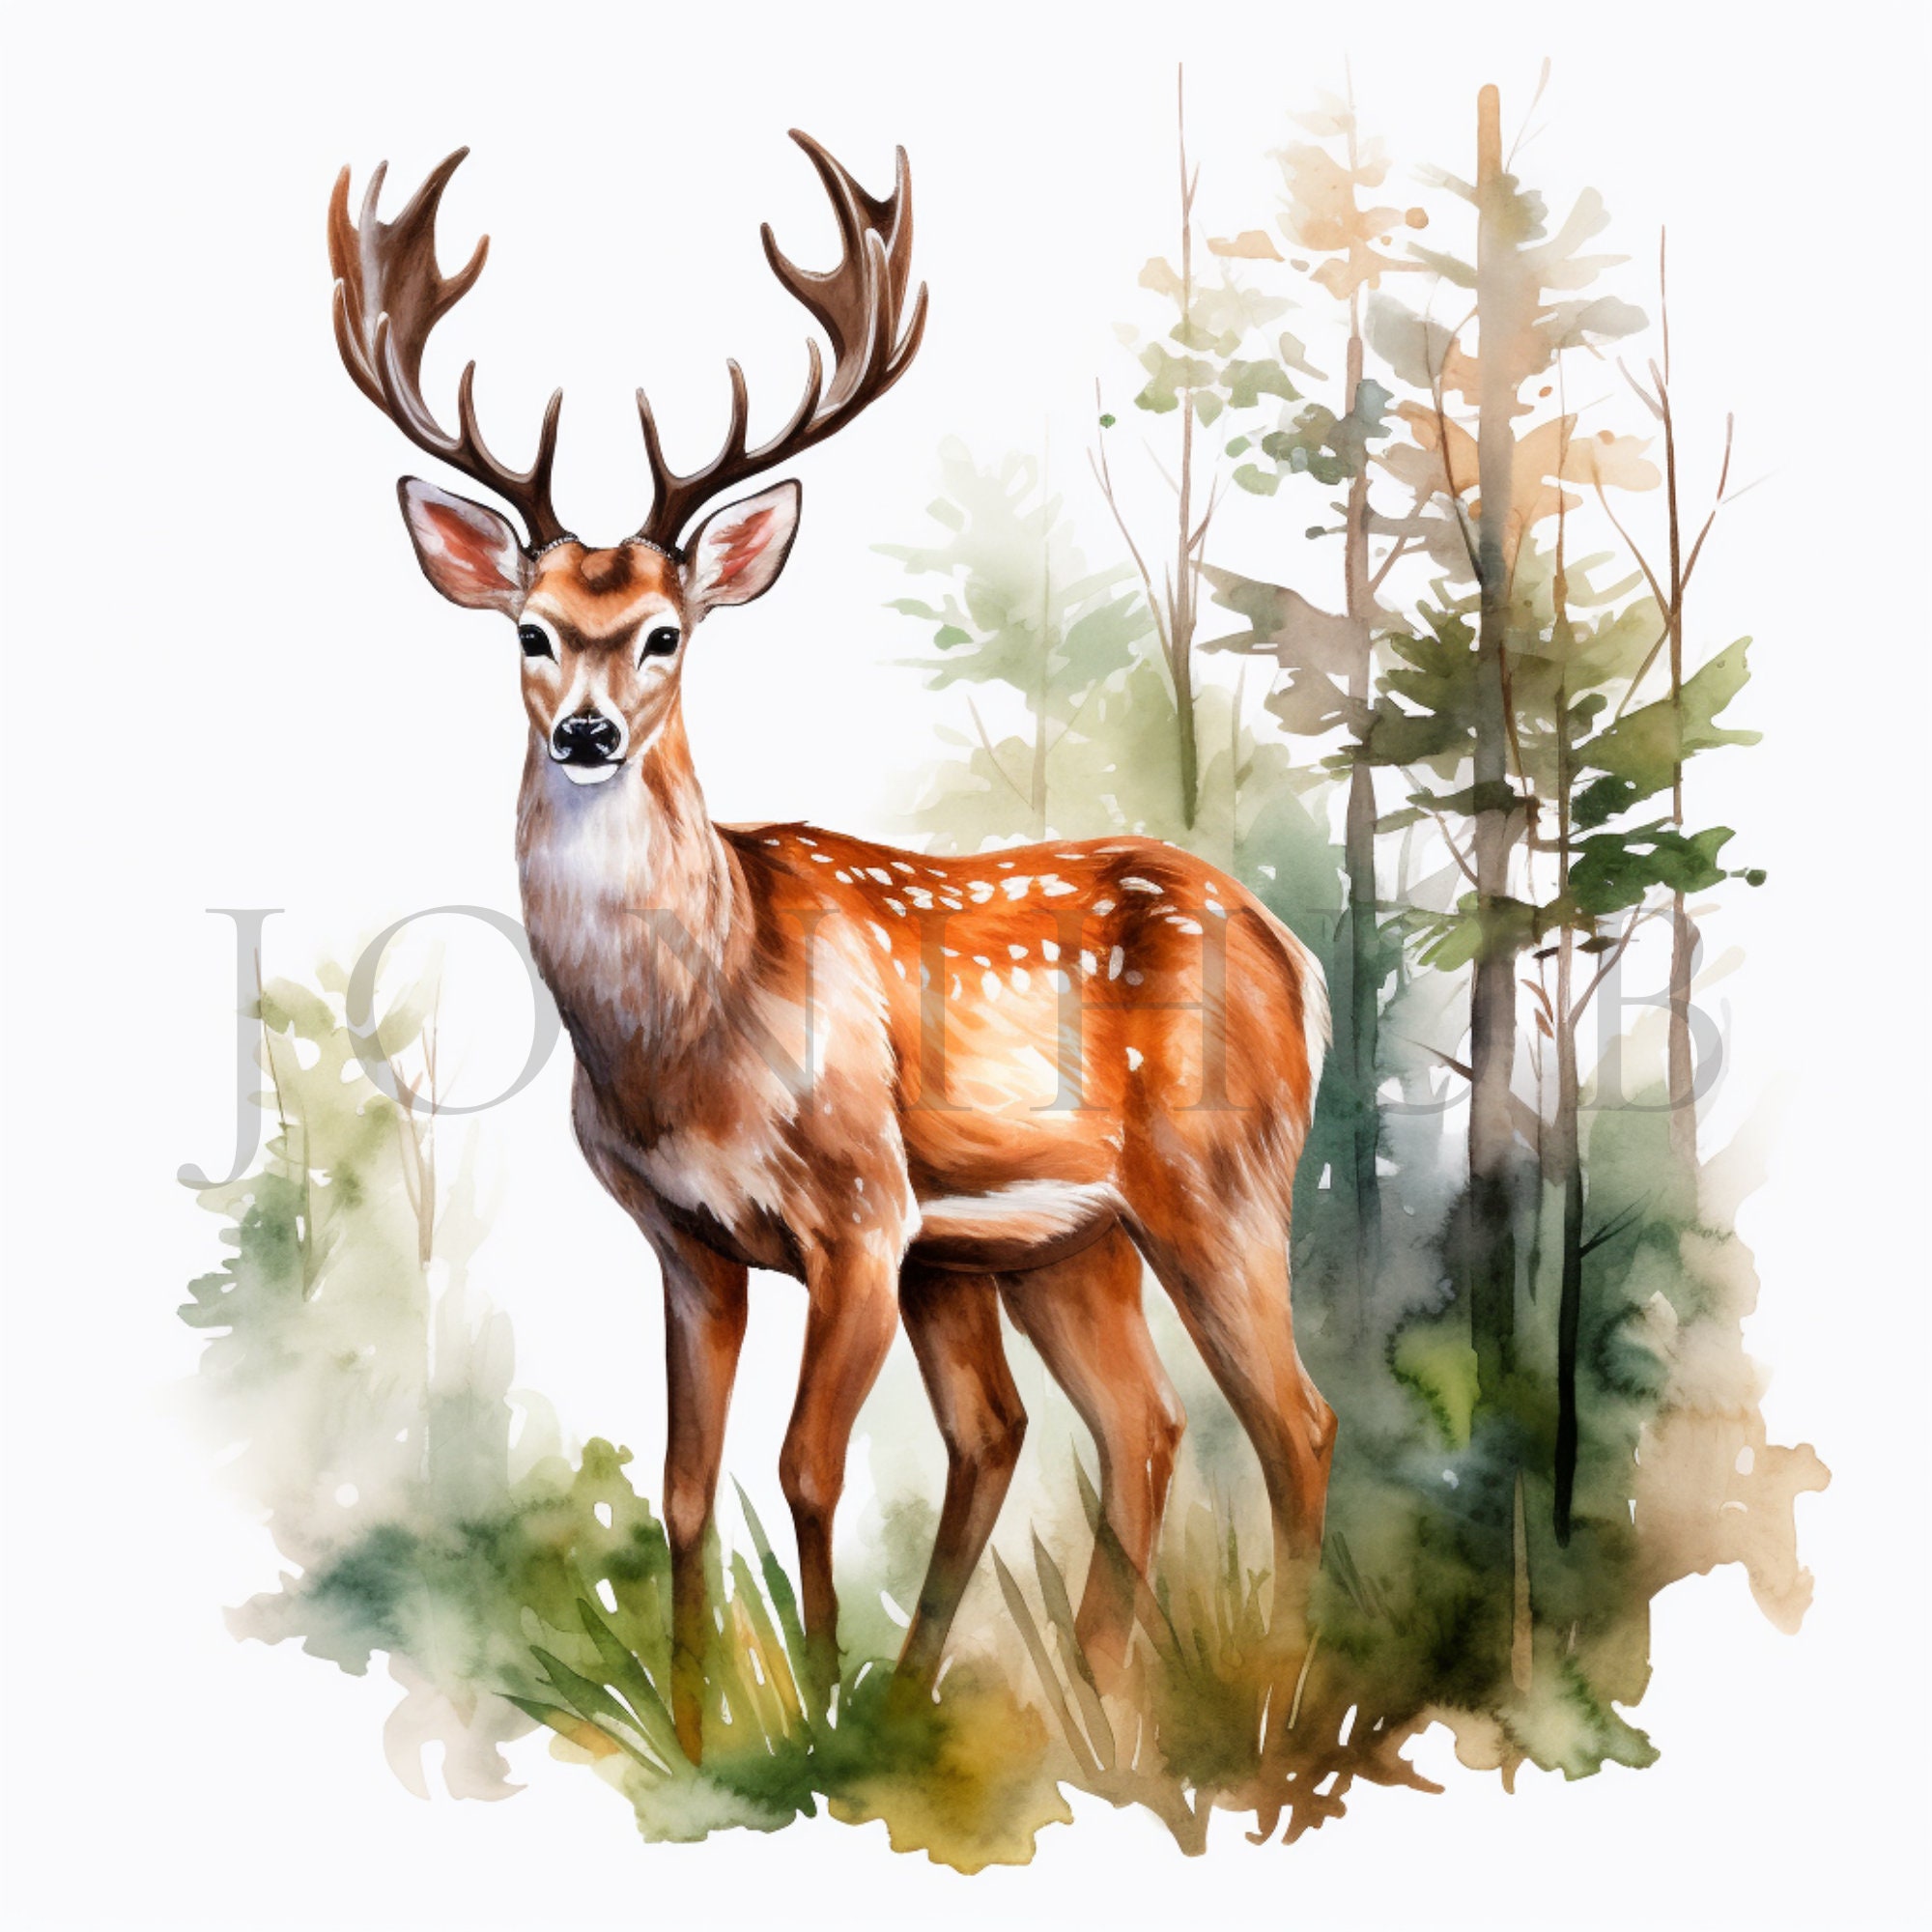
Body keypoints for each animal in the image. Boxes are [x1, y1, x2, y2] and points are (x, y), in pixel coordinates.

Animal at [327, 135, 1336, 1761]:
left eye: (666, 633)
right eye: (531, 633)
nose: (590, 734)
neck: (689, 1038)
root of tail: (1291, 953)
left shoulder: (862, 1213)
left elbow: (808, 1466)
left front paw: (815, 1719)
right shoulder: (684, 1240)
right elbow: (687, 1489)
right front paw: (696, 1733)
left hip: (1217, 1178)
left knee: (1288, 1423)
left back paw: (1274, 1696)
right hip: (1053, 1246)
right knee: (1130, 1425)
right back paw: (1086, 1698)